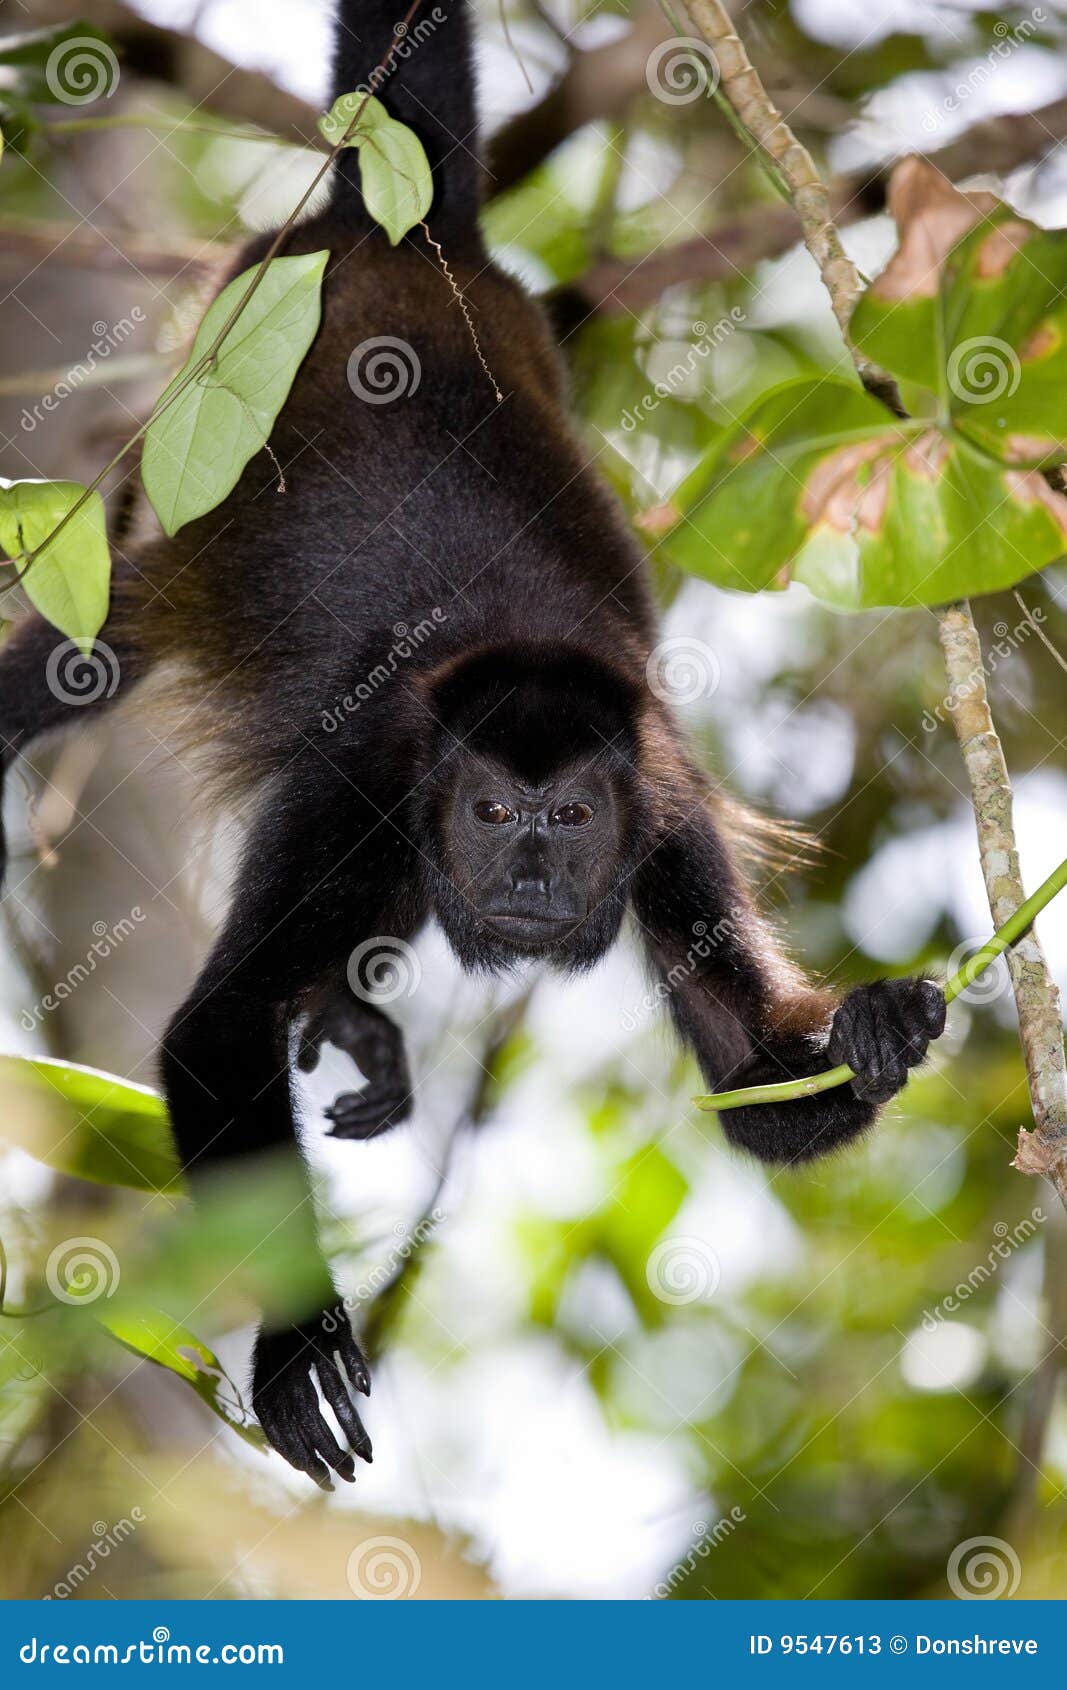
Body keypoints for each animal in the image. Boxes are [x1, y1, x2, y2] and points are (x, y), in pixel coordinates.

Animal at [0, 0, 945, 1487]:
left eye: (569, 818)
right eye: (495, 812)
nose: (531, 877)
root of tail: (400, 234)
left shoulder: (666, 822)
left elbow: (749, 1077)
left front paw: (877, 1025)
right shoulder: (367, 781)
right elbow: (211, 1028)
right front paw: (295, 1345)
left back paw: (346, 1012)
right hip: (205, 401)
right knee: (82, 653)